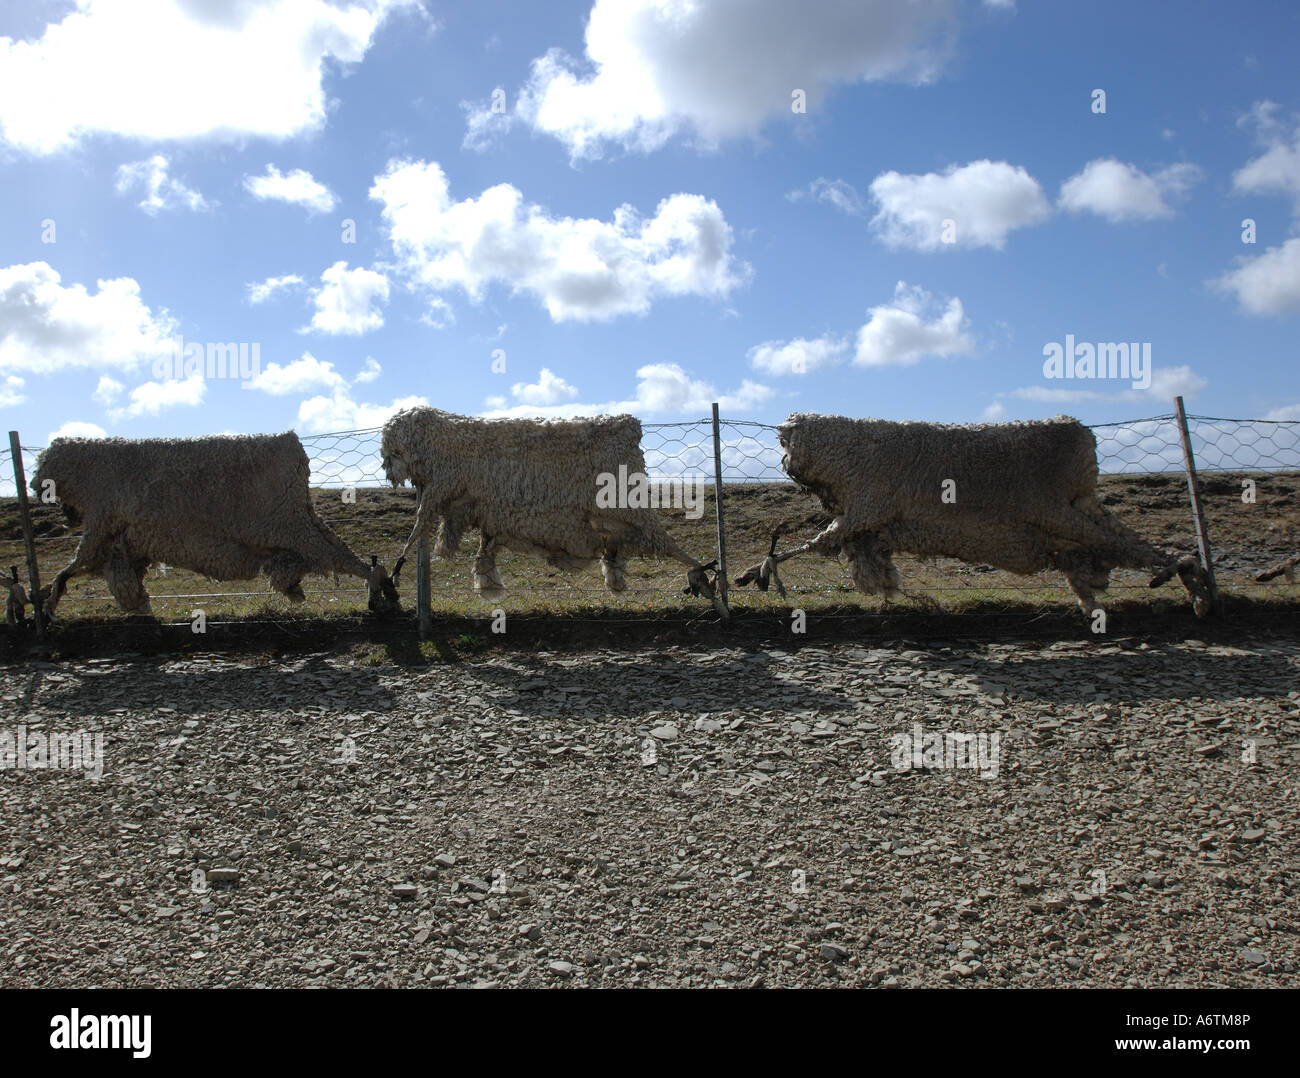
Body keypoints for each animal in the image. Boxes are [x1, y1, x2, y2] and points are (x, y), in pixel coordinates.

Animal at [31, 432, 399, 619]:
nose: (35, 485)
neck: (92, 472)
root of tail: (295, 448)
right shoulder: (117, 543)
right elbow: (120, 580)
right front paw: (139, 608)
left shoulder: (100, 526)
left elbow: (71, 568)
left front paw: (49, 600)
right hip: (296, 520)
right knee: (329, 549)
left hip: (288, 522)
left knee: (335, 554)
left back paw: (379, 586)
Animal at [379, 407, 725, 614]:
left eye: (392, 452)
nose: (387, 469)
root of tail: (630, 427)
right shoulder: (455, 497)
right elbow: (440, 534)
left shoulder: (442, 487)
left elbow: (415, 531)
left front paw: (394, 574)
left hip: (629, 506)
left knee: (670, 546)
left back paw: (707, 580)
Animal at [734, 413, 1212, 618]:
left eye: (788, 444)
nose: (785, 459)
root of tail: (1082, 437)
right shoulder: (864, 522)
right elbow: (829, 549)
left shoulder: (866, 508)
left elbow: (809, 544)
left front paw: (760, 569)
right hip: (1073, 513)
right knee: (1113, 546)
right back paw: (1182, 576)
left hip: (1058, 511)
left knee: (1126, 545)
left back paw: (1191, 578)